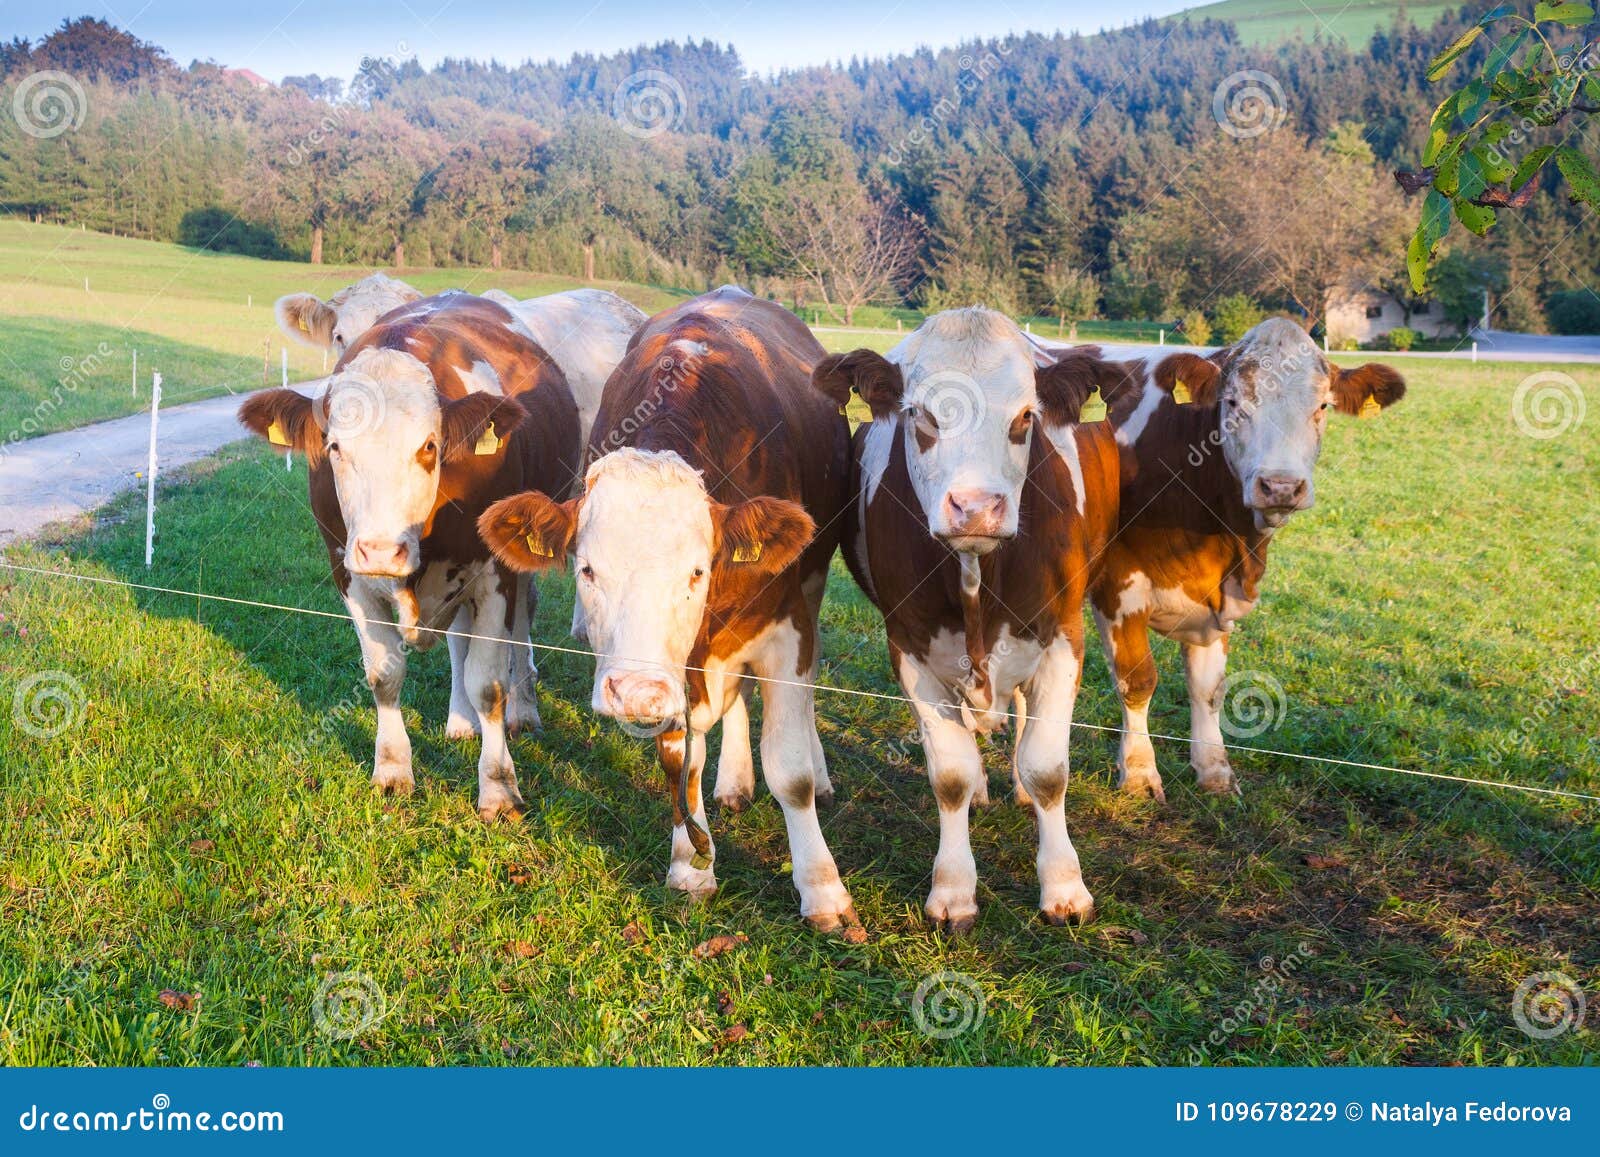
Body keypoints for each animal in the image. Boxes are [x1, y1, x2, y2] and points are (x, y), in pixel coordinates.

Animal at [239, 292, 580, 820]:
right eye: (335, 447)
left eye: (429, 446)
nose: (380, 549)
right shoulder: (349, 575)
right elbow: (384, 676)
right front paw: (393, 771)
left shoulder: (494, 574)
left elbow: (489, 684)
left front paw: (498, 789)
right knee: (459, 639)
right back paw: (460, 721)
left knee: (521, 622)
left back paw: (524, 710)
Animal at [478, 287, 858, 931]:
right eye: (587, 569)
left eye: (697, 571)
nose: (633, 691)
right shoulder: (671, 670)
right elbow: (680, 758)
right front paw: (691, 864)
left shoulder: (785, 629)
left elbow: (790, 770)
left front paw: (823, 889)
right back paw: (733, 781)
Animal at [813, 307, 1120, 931]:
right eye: (921, 416)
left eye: (1026, 417)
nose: (975, 508)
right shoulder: (909, 645)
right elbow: (949, 775)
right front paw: (954, 891)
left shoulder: (1062, 635)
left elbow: (1048, 769)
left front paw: (1064, 887)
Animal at [1085, 317, 1405, 800]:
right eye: (1233, 402)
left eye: (1323, 406)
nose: (1281, 486)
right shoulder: (1117, 585)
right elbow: (1137, 680)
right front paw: (1139, 774)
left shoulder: (1217, 597)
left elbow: (1209, 688)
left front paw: (1214, 771)